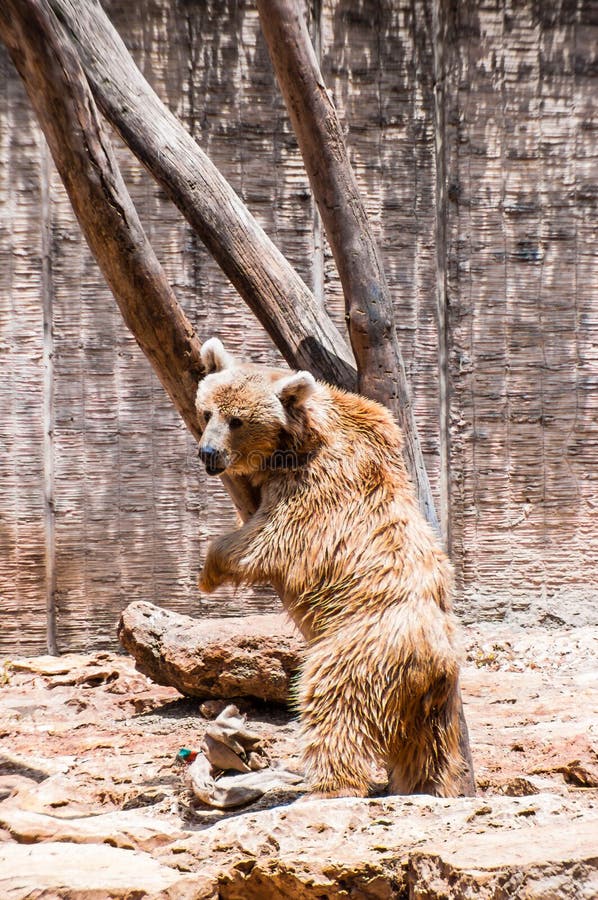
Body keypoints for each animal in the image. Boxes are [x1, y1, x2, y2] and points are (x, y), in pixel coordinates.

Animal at [195, 337, 464, 798]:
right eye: (207, 411)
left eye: (237, 420)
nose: (208, 454)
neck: (298, 438)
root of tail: (435, 663)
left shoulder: (316, 488)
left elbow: (268, 539)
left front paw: (208, 572)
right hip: (434, 704)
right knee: (427, 750)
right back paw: (426, 786)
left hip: (362, 652)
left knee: (335, 706)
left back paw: (327, 786)